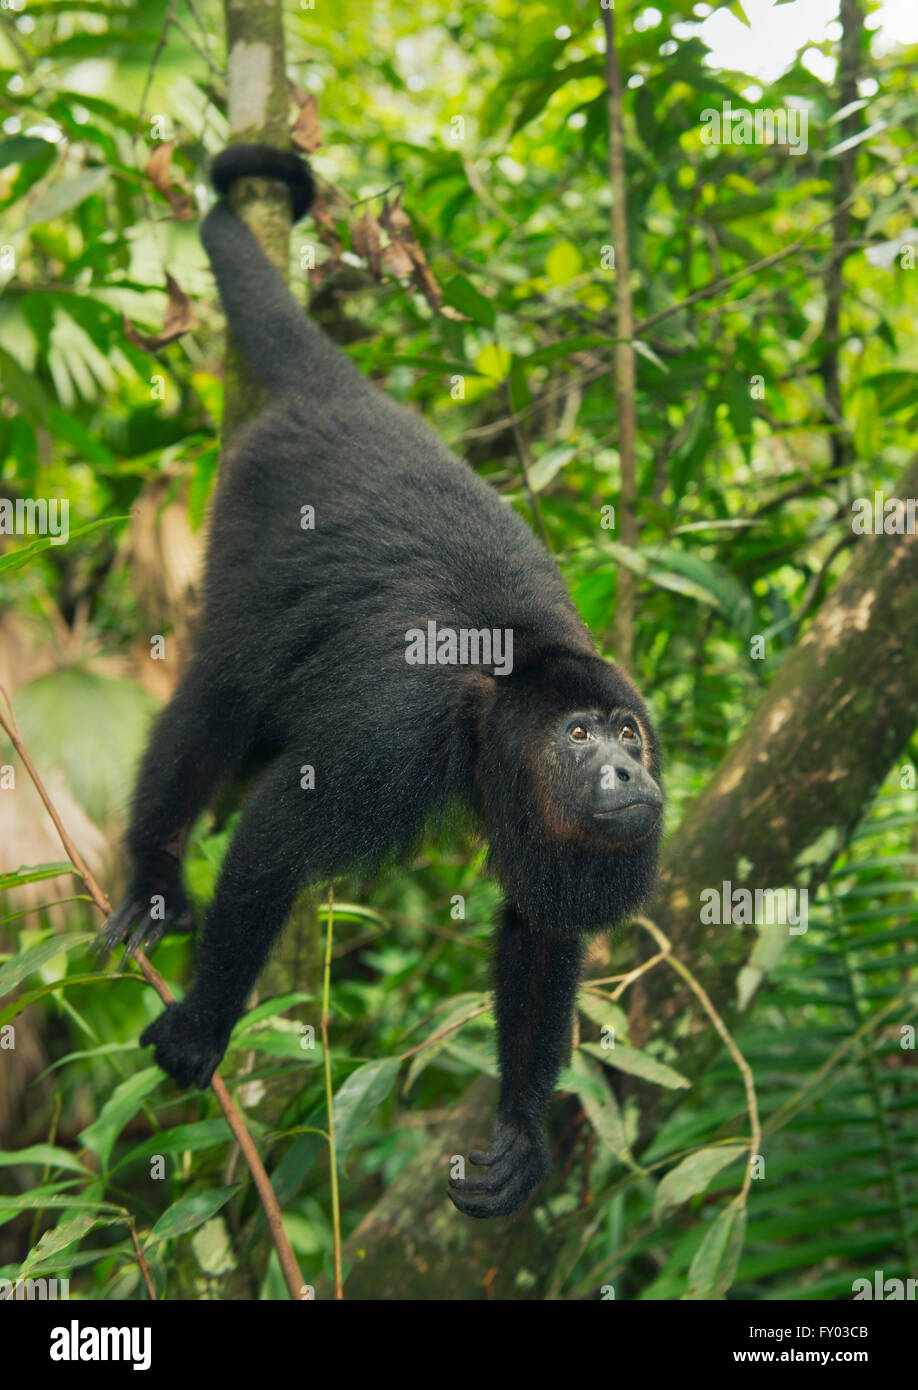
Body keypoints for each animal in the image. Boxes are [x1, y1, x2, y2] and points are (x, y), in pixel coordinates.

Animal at [98, 144, 663, 1220]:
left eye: (629, 731)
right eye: (578, 737)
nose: (629, 776)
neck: (495, 702)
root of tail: (347, 398)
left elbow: (539, 925)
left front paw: (520, 1130)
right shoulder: (395, 743)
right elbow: (277, 834)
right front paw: (201, 1023)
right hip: (251, 514)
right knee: (219, 697)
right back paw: (152, 872)